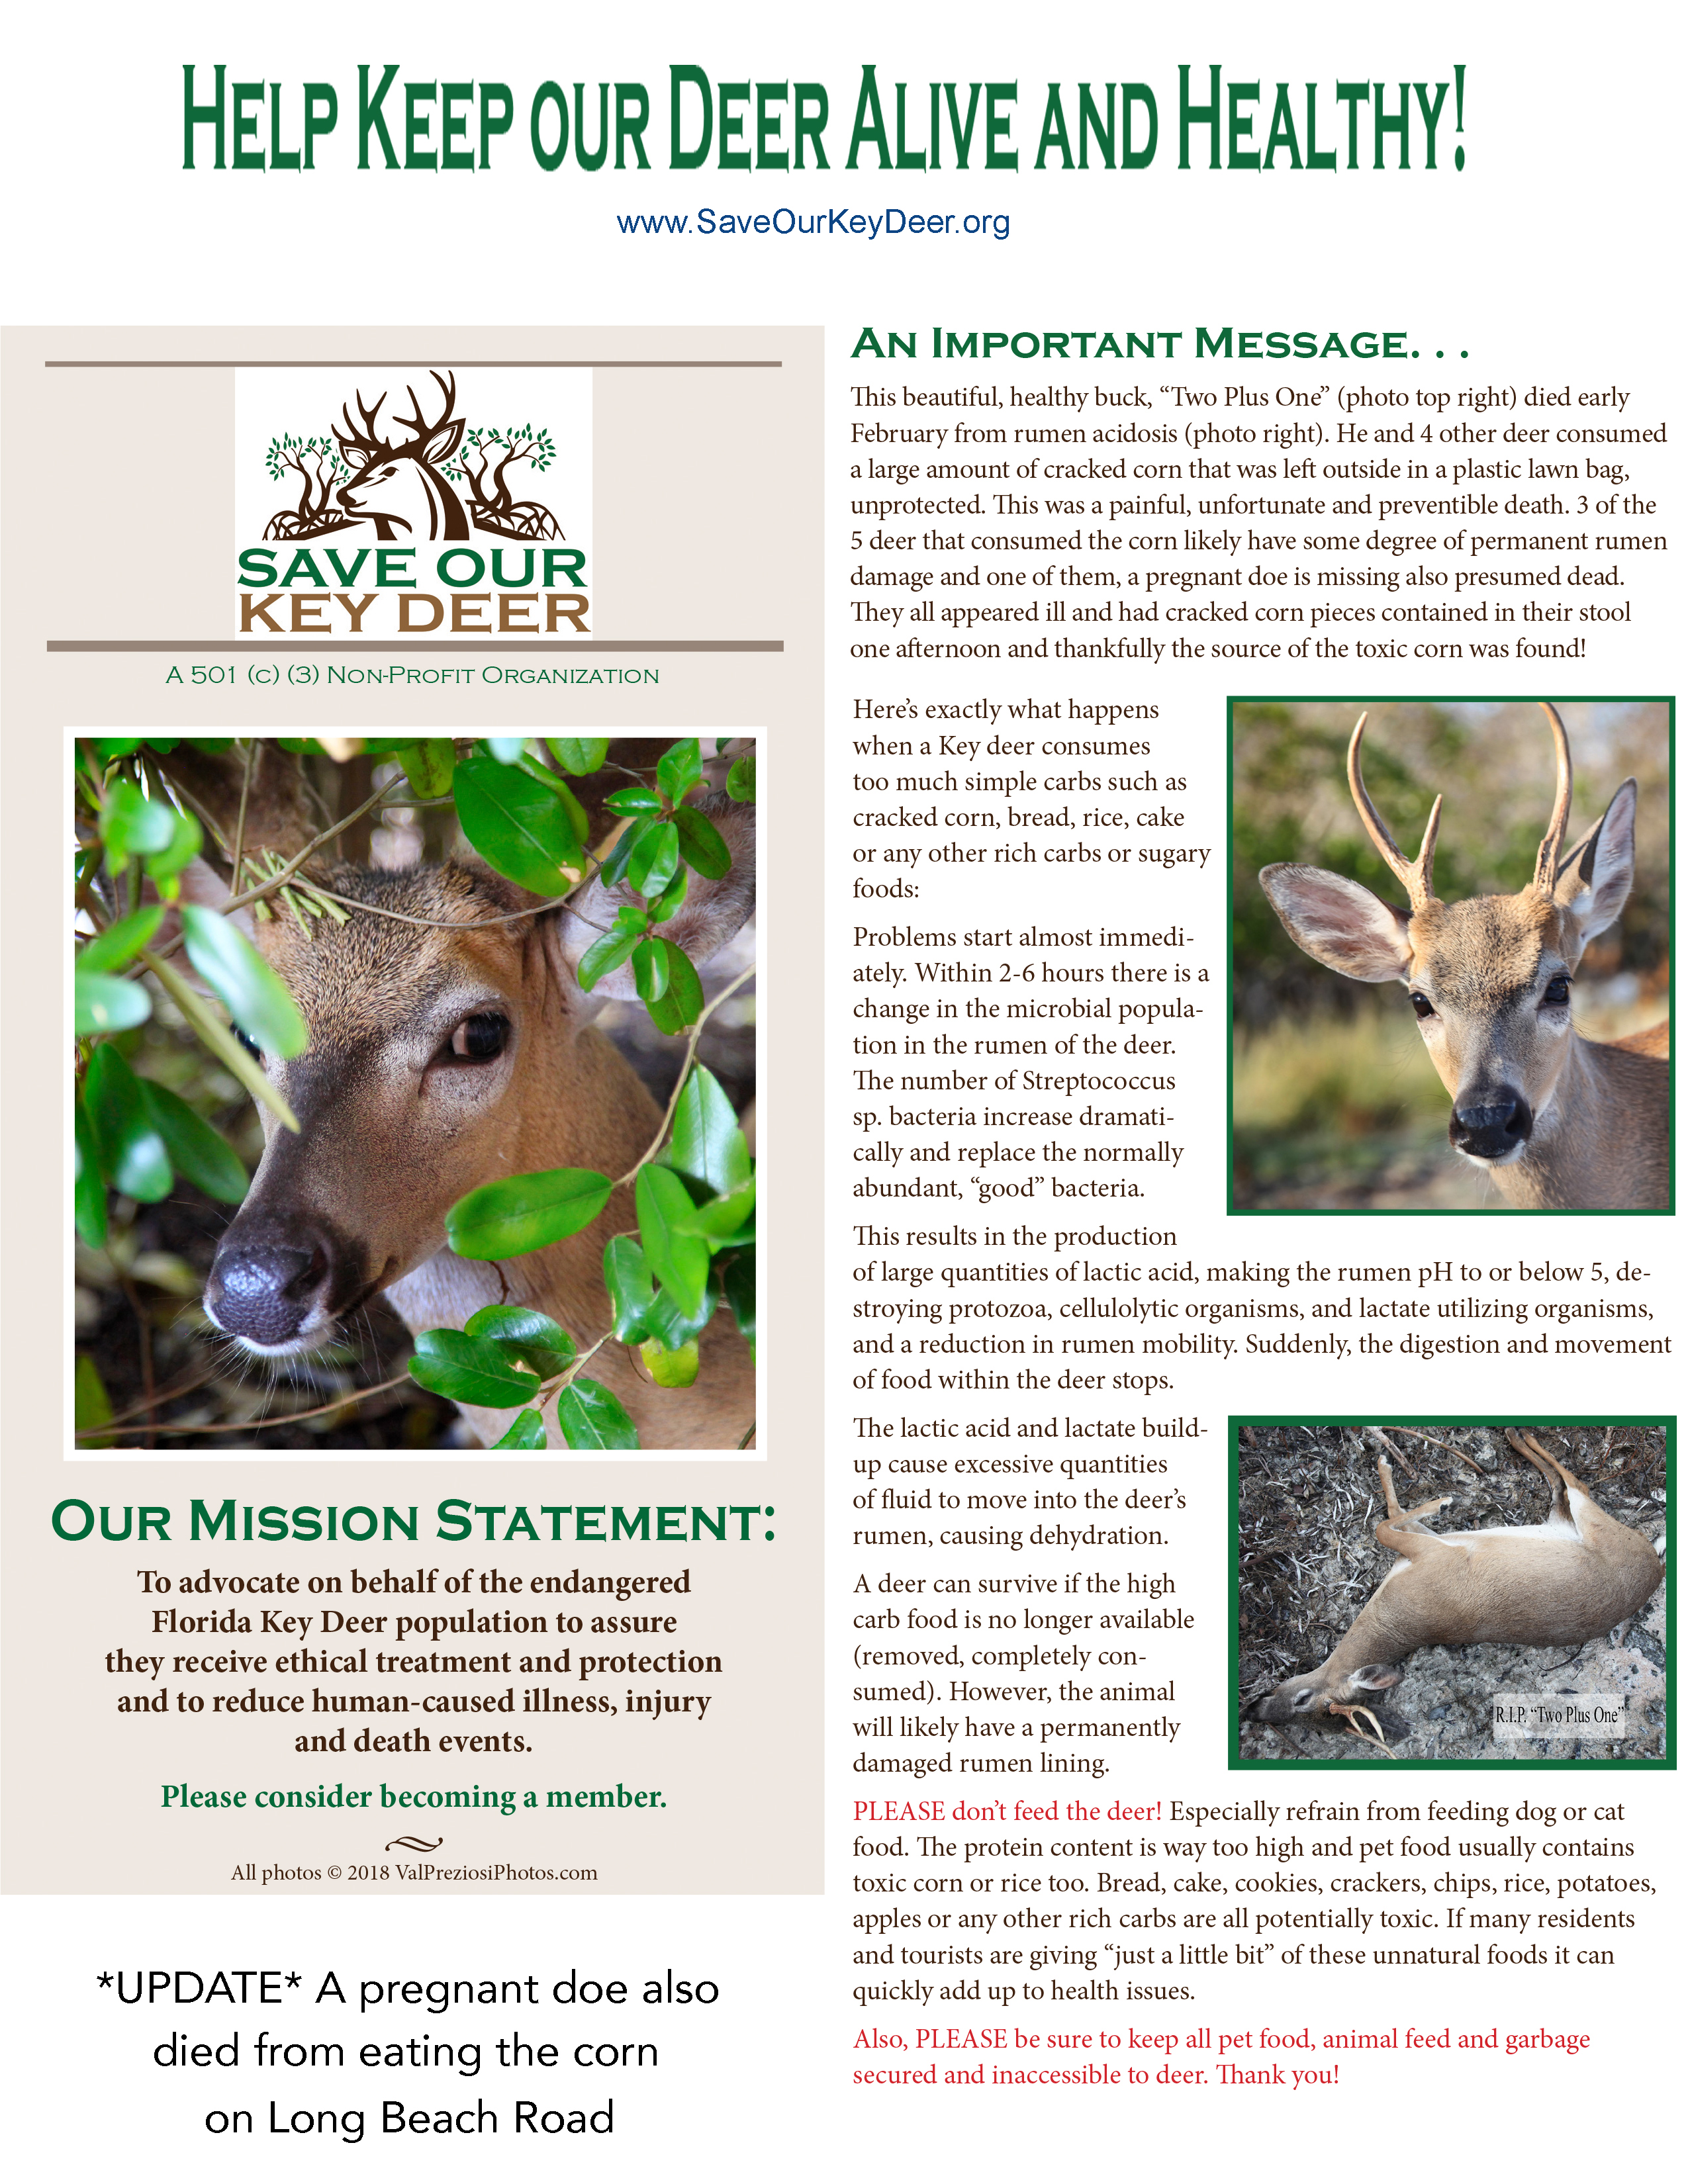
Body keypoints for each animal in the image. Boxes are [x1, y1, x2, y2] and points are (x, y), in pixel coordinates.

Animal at [1252, 1432, 1662, 1737]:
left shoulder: (1432, 1555)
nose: (1253, 1709)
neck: (1396, 1614)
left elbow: (1385, 1522)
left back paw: (1518, 1435)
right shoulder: (1427, 1550)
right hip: (1570, 1519)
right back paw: (1516, 1436)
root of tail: (1656, 1567)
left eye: (1303, 1699)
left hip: (1596, 1526)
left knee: (1578, 1483)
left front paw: (1436, 1496)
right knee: (1563, 1487)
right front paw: (1410, 1479)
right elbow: (1392, 1517)